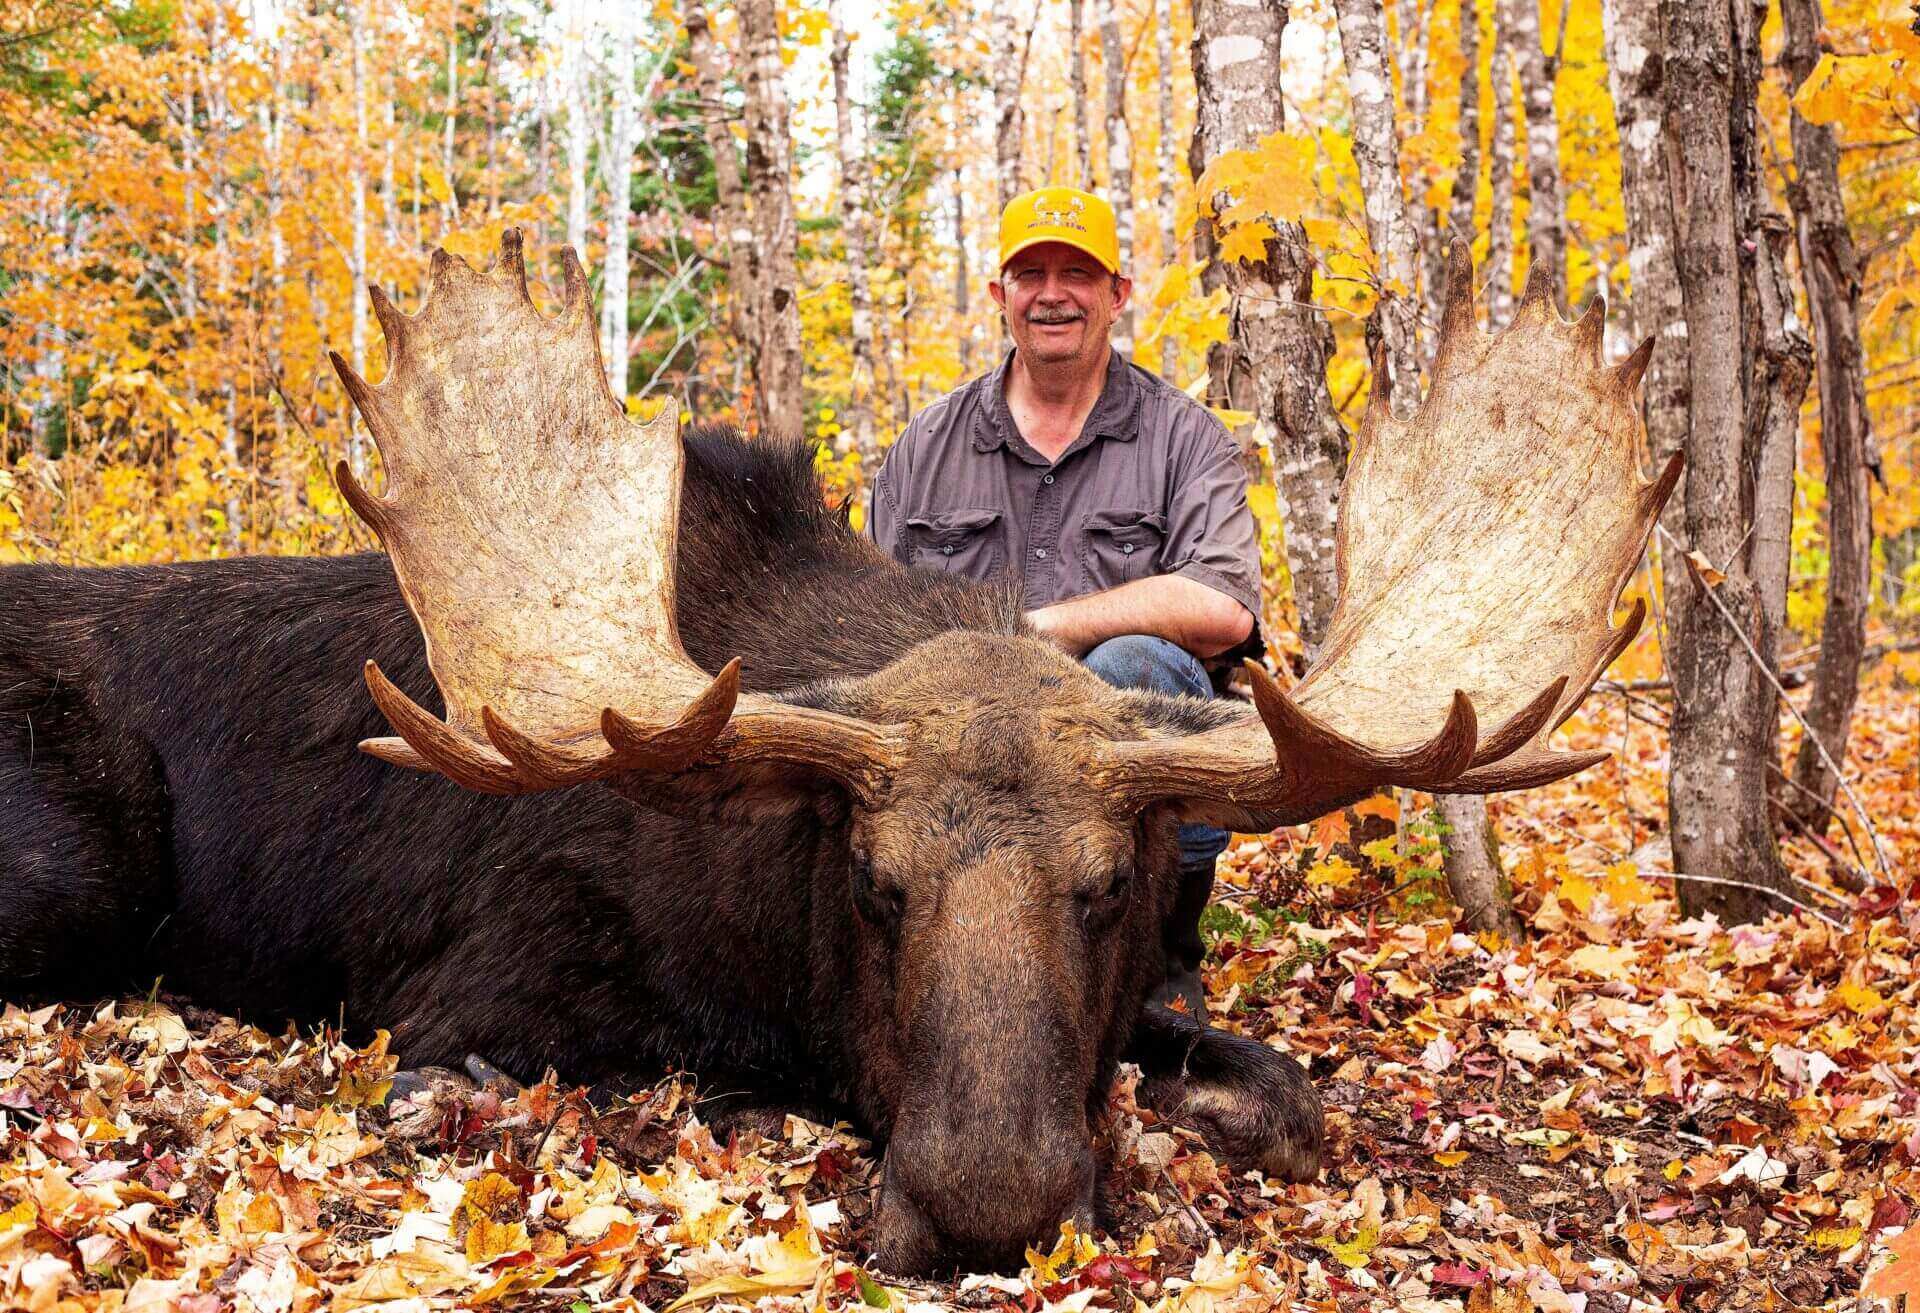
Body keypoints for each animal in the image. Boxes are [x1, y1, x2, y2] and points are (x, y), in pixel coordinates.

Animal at [0, 230, 1676, 1273]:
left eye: (1104, 889)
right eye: (877, 882)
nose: (991, 1205)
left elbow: (1284, 1089)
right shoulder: (464, 1006)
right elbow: (709, 1085)